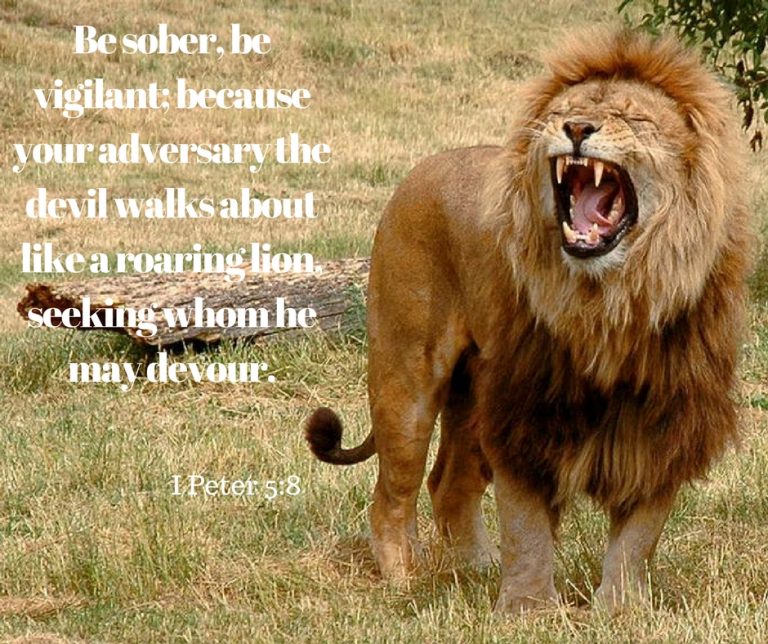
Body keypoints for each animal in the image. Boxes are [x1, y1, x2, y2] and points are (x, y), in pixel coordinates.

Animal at [305, 28, 752, 614]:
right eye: (564, 112)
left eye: (632, 117)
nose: (577, 129)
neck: (611, 301)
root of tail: (423, 168)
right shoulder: (524, 408)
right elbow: (527, 527)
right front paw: (526, 611)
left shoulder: (665, 417)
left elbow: (638, 536)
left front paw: (620, 611)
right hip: (406, 378)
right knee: (392, 494)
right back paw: (406, 580)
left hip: (472, 391)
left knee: (448, 484)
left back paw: (475, 569)